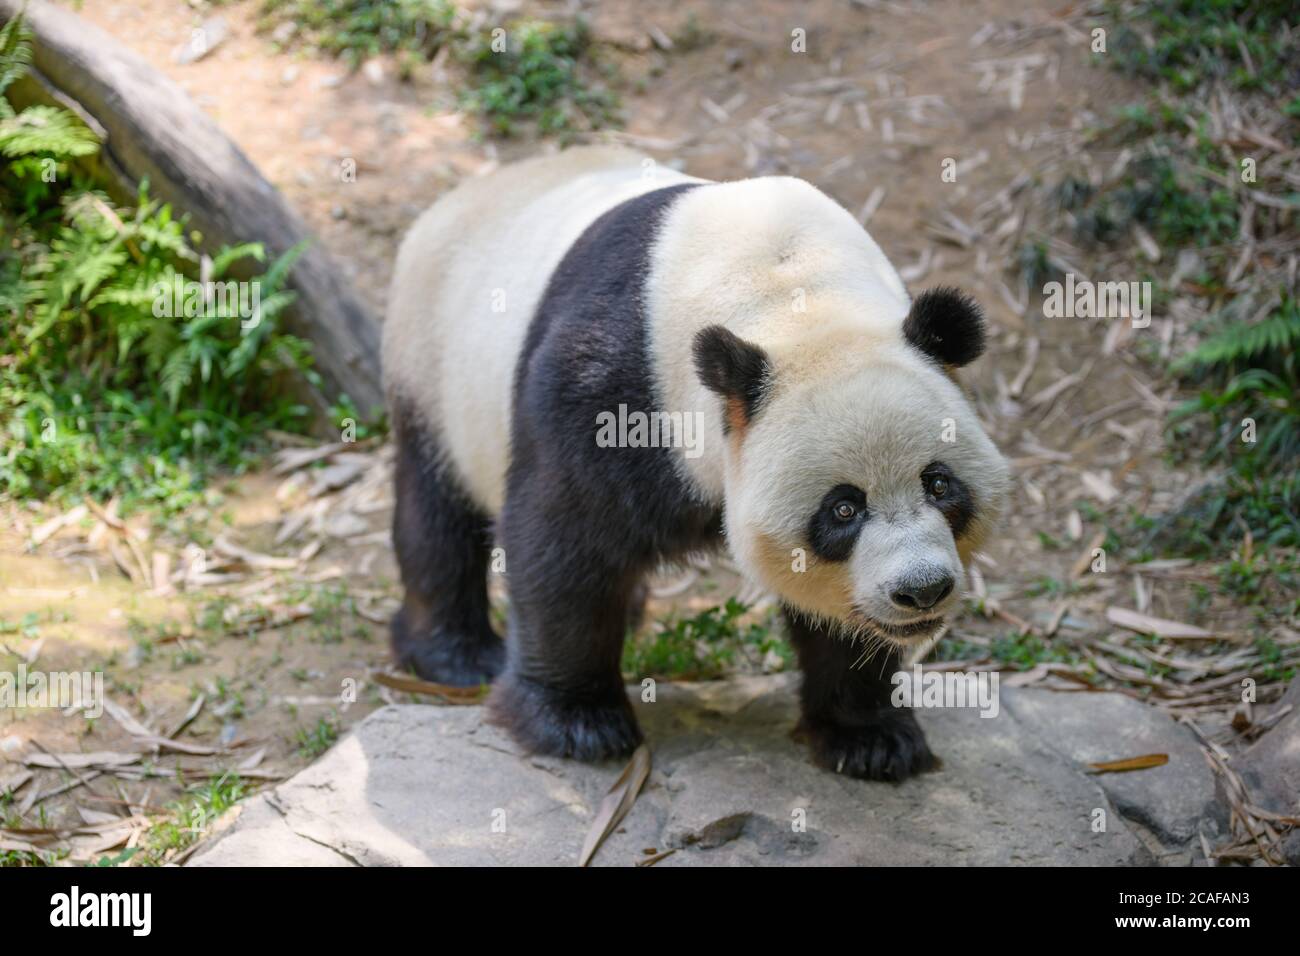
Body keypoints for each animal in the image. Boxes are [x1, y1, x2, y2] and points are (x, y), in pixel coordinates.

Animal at [383, 146, 1010, 782]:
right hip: (435, 368)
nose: (923, 590)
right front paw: (575, 722)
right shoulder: (612, 390)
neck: (794, 292)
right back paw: (456, 656)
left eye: (939, 484)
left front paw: (870, 736)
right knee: (437, 518)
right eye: (842, 509)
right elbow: (562, 540)